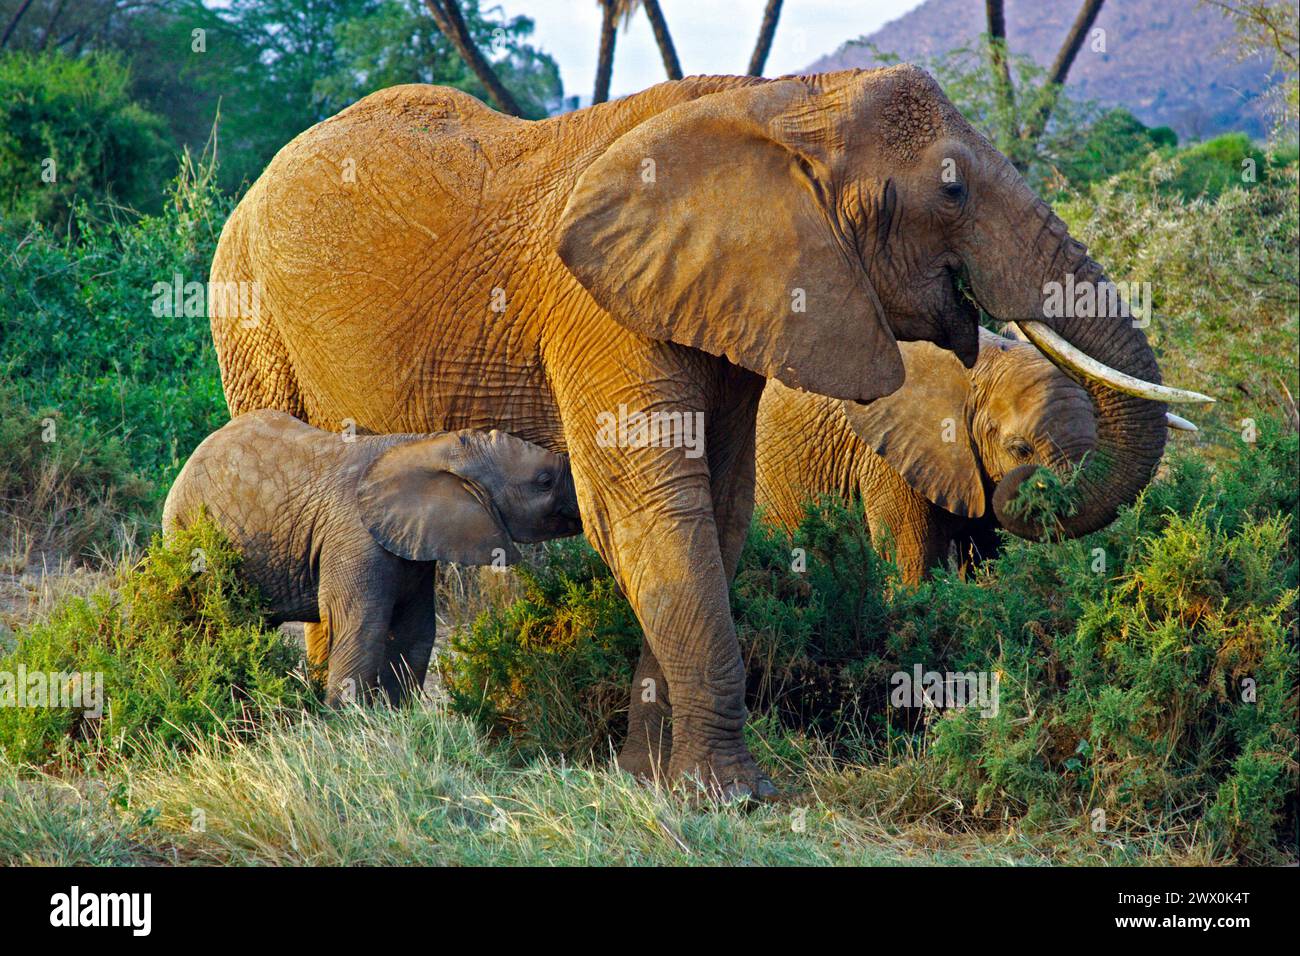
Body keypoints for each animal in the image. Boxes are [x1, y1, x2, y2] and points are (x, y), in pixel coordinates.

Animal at [163, 410, 582, 705]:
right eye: (544, 481)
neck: (432, 443)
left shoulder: (413, 545)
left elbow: (415, 633)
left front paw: (397, 721)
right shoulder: (354, 536)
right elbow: (362, 627)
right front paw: (344, 728)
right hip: (190, 531)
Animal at [755, 328, 1197, 584]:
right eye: (1019, 449)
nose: (1033, 483)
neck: (978, 365)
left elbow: (985, 554)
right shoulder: (887, 455)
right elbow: (910, 561)